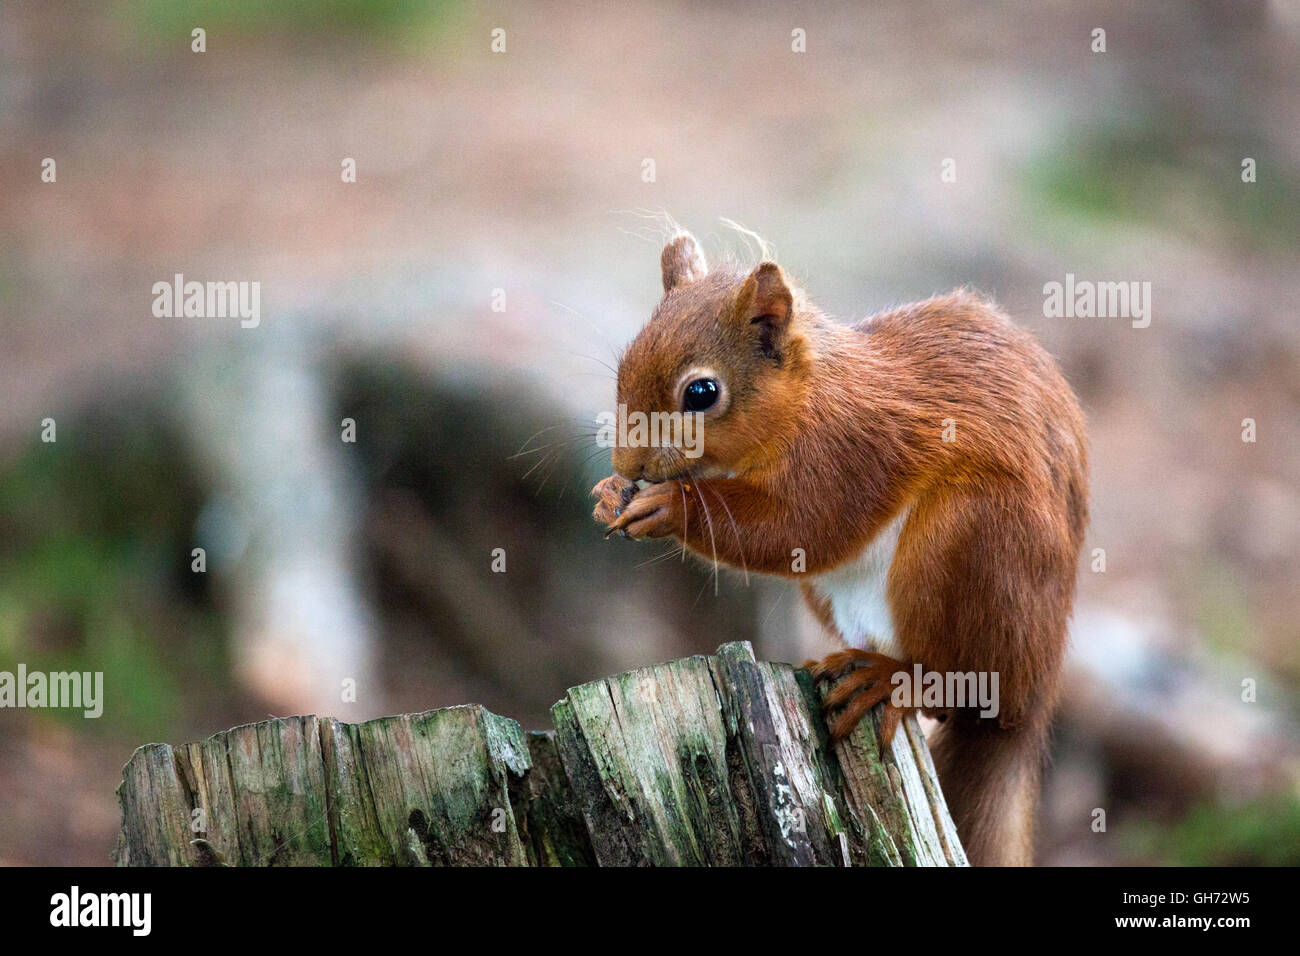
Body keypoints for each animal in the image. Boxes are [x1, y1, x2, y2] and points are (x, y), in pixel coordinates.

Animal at [591, 232, 1088, 866]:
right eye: (624, 366)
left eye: (701, 393)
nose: (627, 464)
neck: (807, 398)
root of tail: (1033, 699)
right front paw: (609, 494)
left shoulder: (852, 451)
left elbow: (802, 526)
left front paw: (673, 507)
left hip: (968, 545)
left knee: (956, 683)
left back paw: (893, 678)